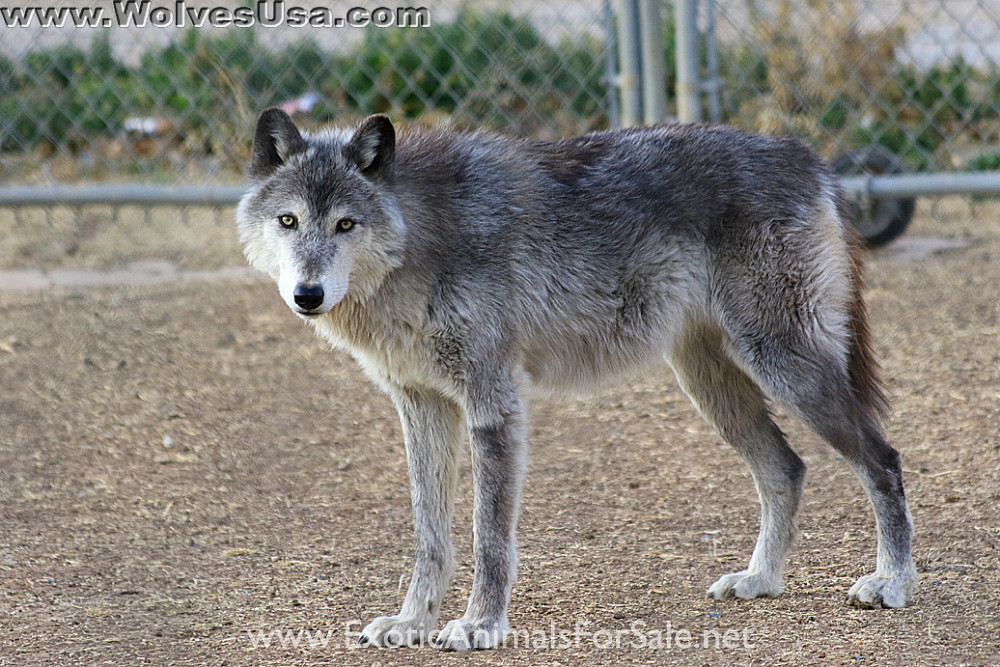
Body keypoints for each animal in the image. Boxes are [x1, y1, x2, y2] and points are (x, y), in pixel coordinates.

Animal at [236, 108, 917, 650]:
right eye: (289, 221)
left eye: (346, 224)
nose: (306, 295)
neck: (420, 234)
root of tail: (809, 158)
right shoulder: (421, 407)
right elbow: (430, 535)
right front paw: (412, 623)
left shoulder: (494, 404)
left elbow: (488, 537)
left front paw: (479, 626)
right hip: (711, 387)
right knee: (786, 468)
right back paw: (760, 580)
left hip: (784, 368)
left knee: (882, 459)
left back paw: (891, 583)